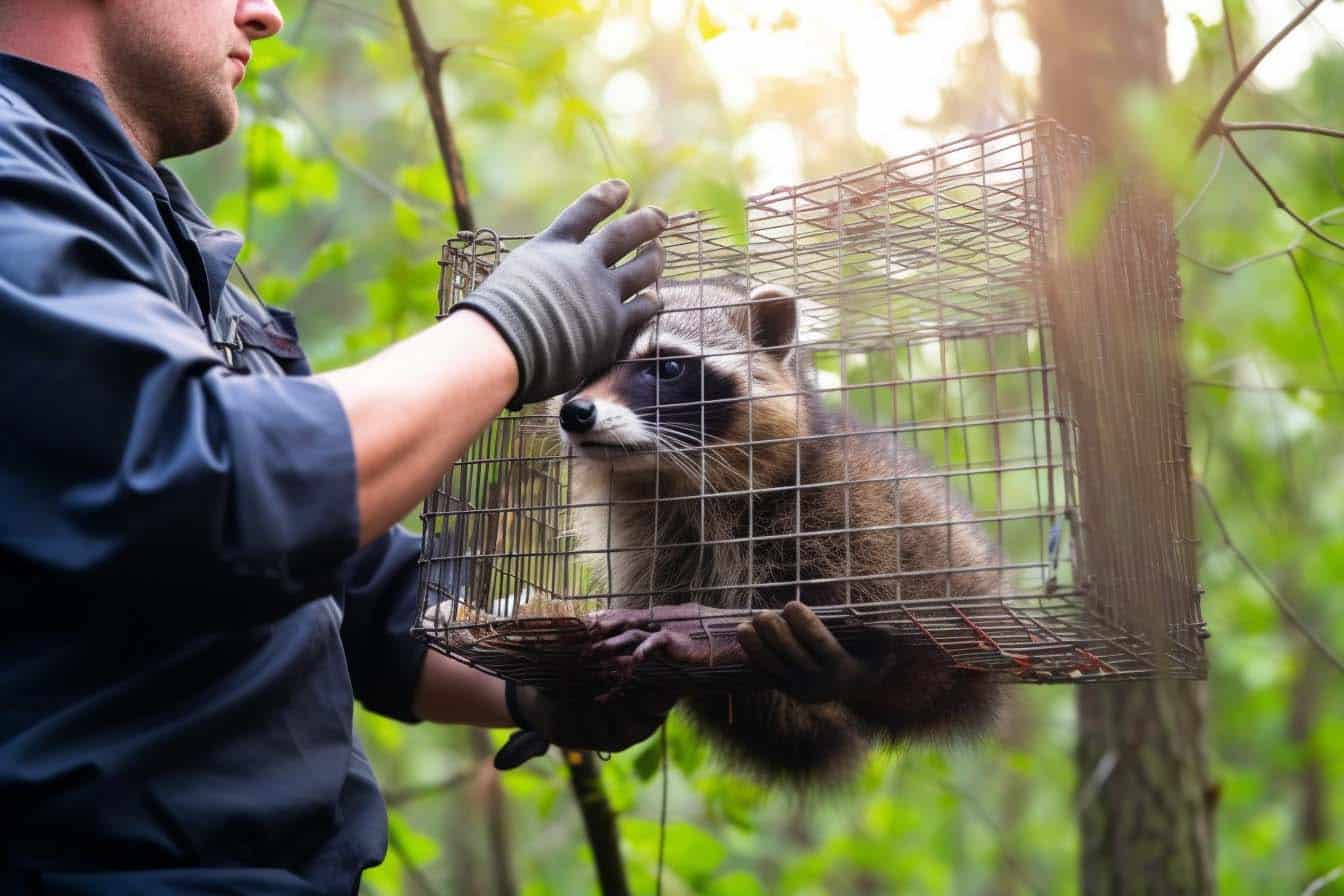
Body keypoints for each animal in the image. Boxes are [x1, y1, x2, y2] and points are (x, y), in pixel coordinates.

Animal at [558, 277, 1001, 785]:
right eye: (584, 370)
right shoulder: (649, 533)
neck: (667, 475)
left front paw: (709, 633)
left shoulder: (827, 501)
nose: (575, 413)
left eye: (667, 367)